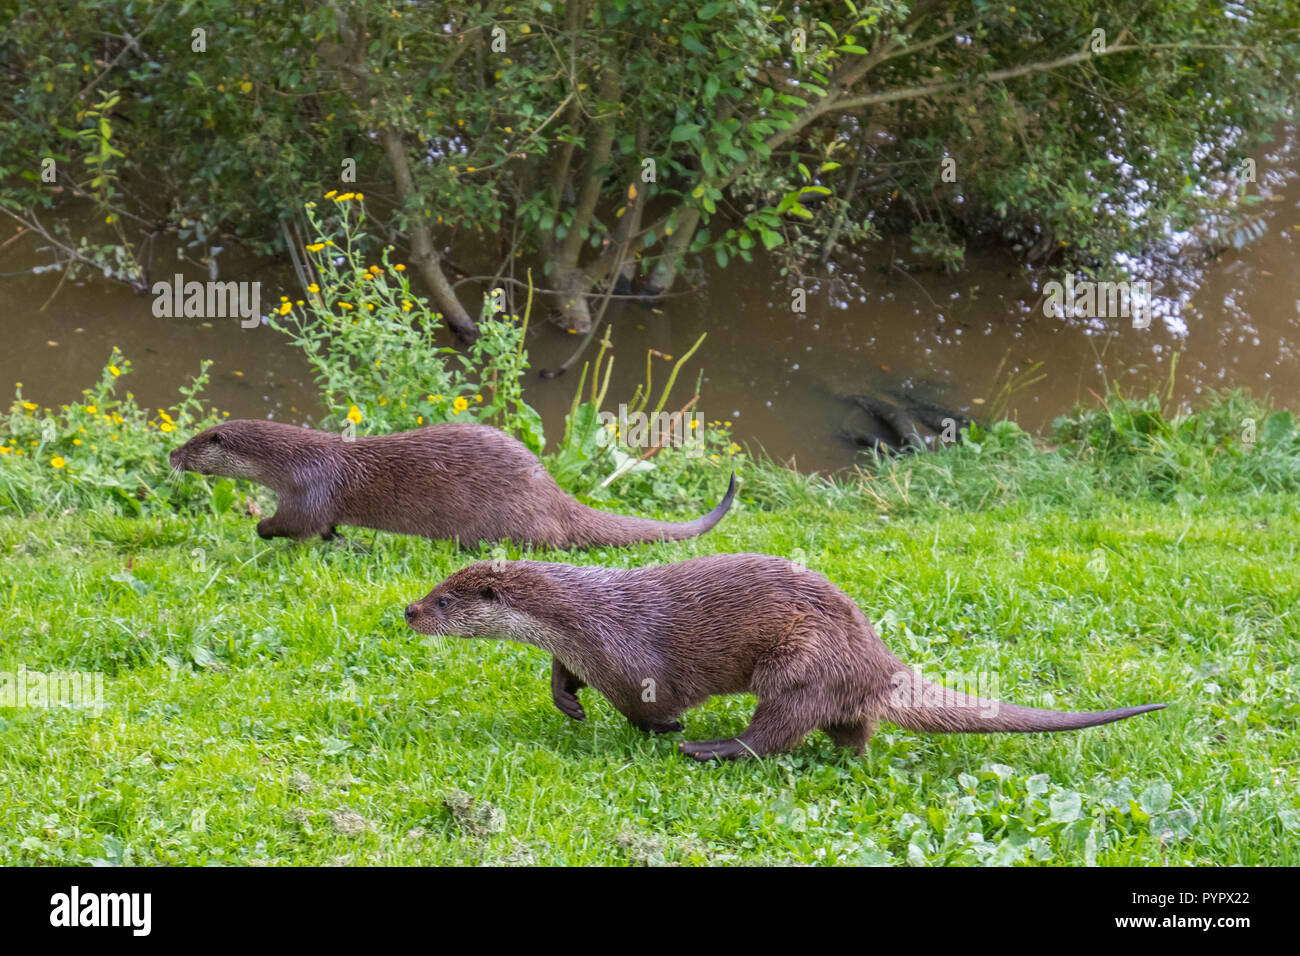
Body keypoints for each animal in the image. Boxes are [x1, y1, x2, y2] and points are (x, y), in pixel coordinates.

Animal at [405, 554, 1165, 761]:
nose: (409, 611)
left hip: (799, 668)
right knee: (852, 728)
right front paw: (565, 698)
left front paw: (669, 729)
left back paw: (710, 749)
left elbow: (651, 706)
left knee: (774, 732)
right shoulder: (581, 649)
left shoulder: (628, 660)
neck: (582, 616)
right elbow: (563, 676)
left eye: (444, 599)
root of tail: (877, 660)